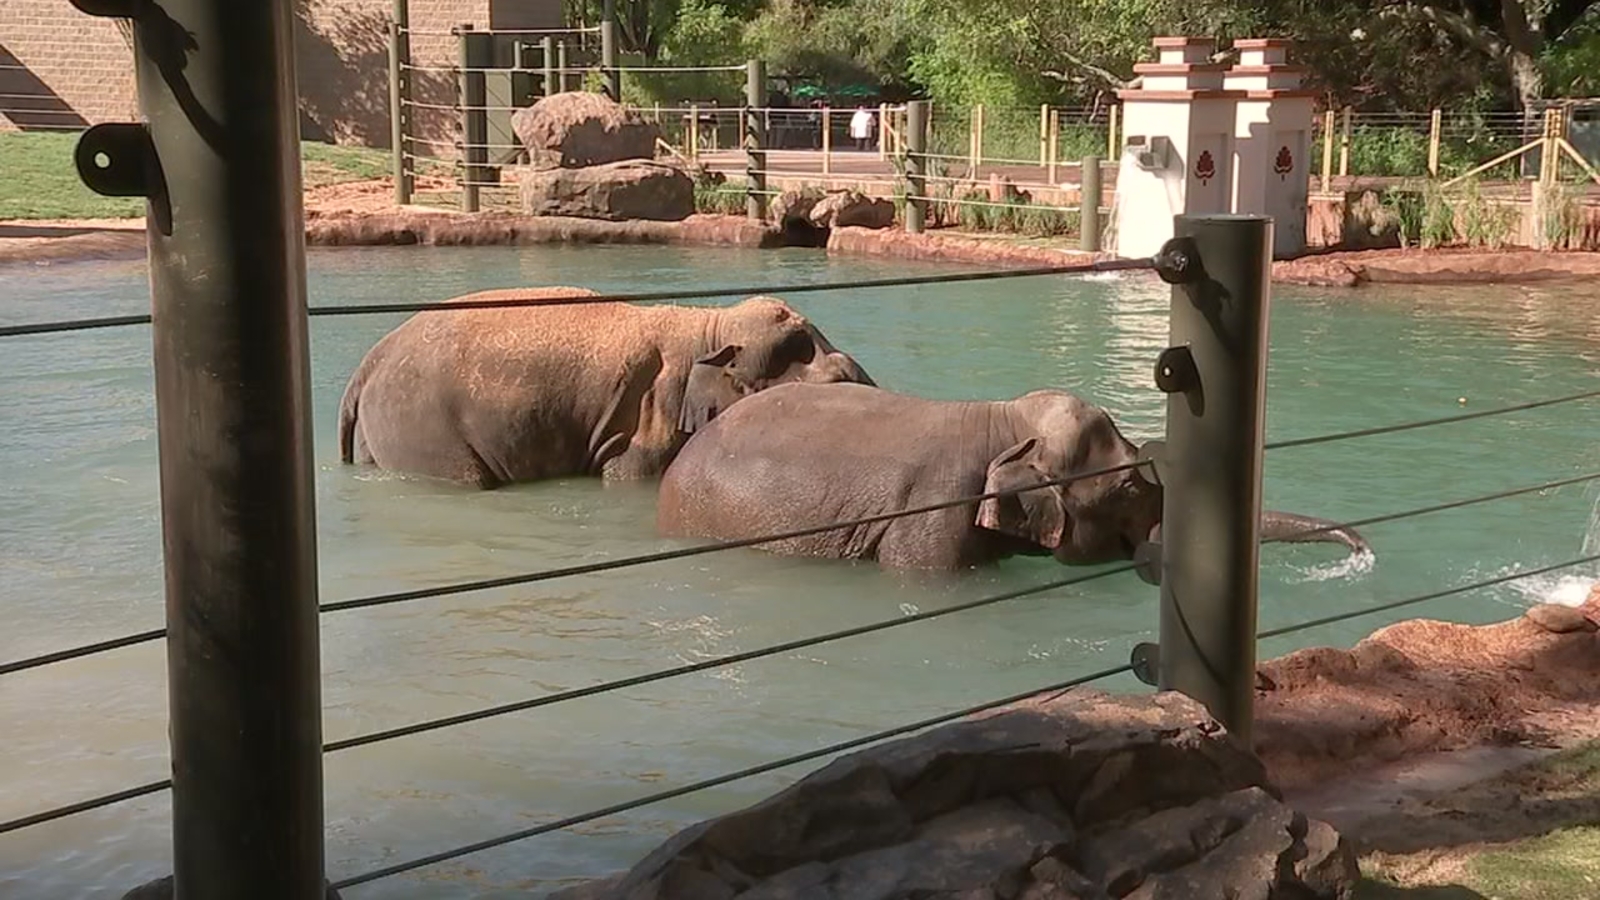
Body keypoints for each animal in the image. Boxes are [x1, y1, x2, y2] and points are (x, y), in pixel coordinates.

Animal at [337, 287, 874, 488]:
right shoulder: (651, 410)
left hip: (382, 432)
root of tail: (369, 361)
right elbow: (629, 475)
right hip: (421, 425)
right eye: (836, 383)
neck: (708, 324)